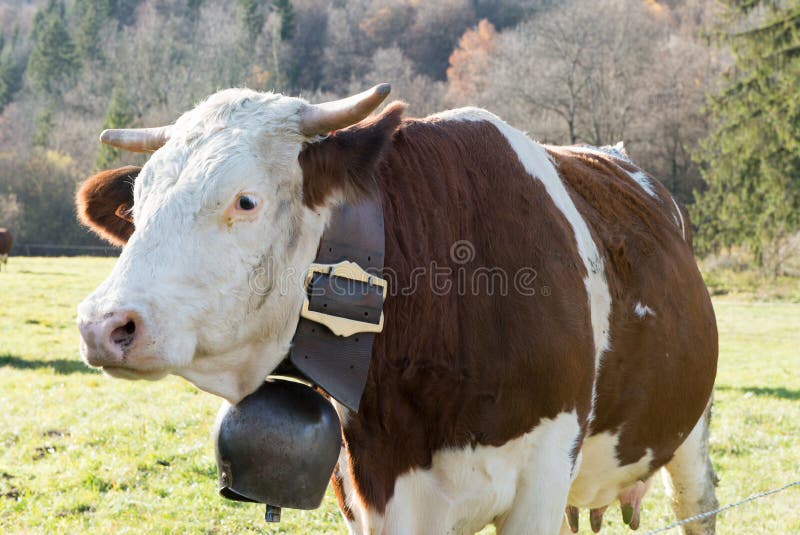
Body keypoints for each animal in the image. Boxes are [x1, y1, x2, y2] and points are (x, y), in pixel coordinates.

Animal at [75, 85, 718, 534]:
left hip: (689, 432)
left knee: (697, 504)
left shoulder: (541, 479)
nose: (103, 325)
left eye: (246, 200)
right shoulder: (370, 489)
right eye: (136, 205)